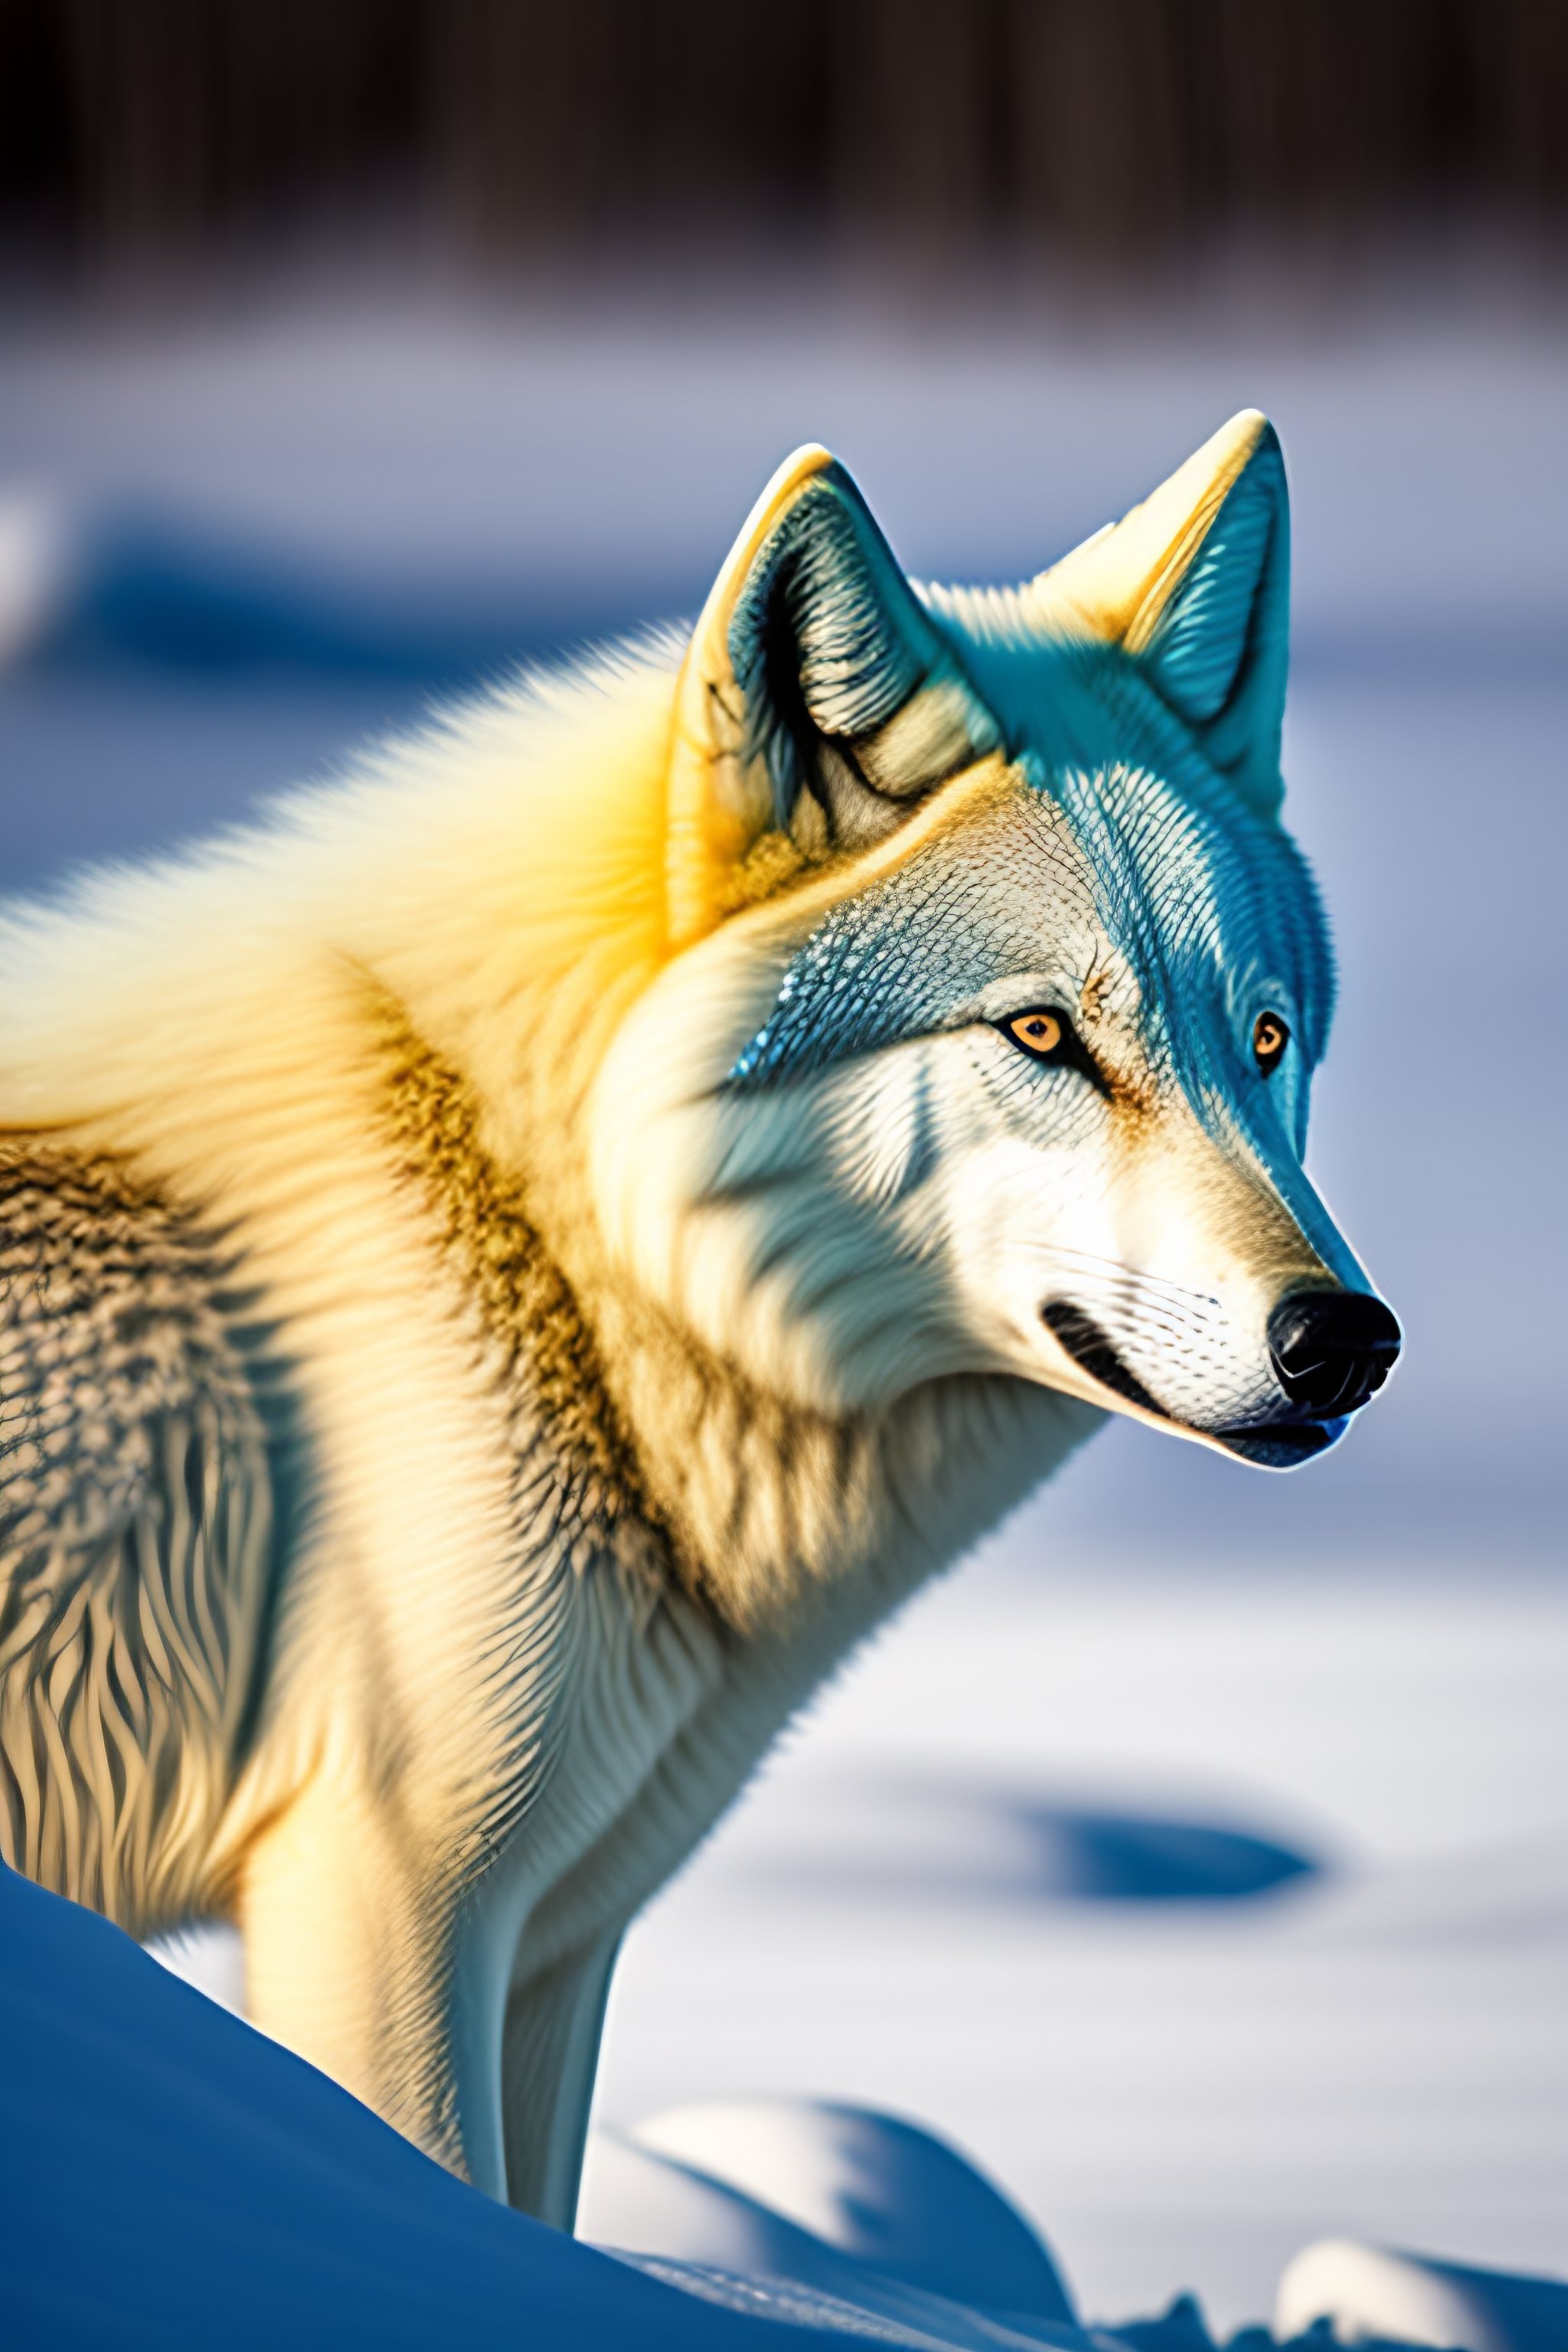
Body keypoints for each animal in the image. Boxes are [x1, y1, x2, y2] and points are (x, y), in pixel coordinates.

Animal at [0, 410, 1397, 2224]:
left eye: (1265, 1039)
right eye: (1037, 1032)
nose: (1344, 1340)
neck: (539, 1228)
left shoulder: (554, 1940)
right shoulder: (385, 1901)